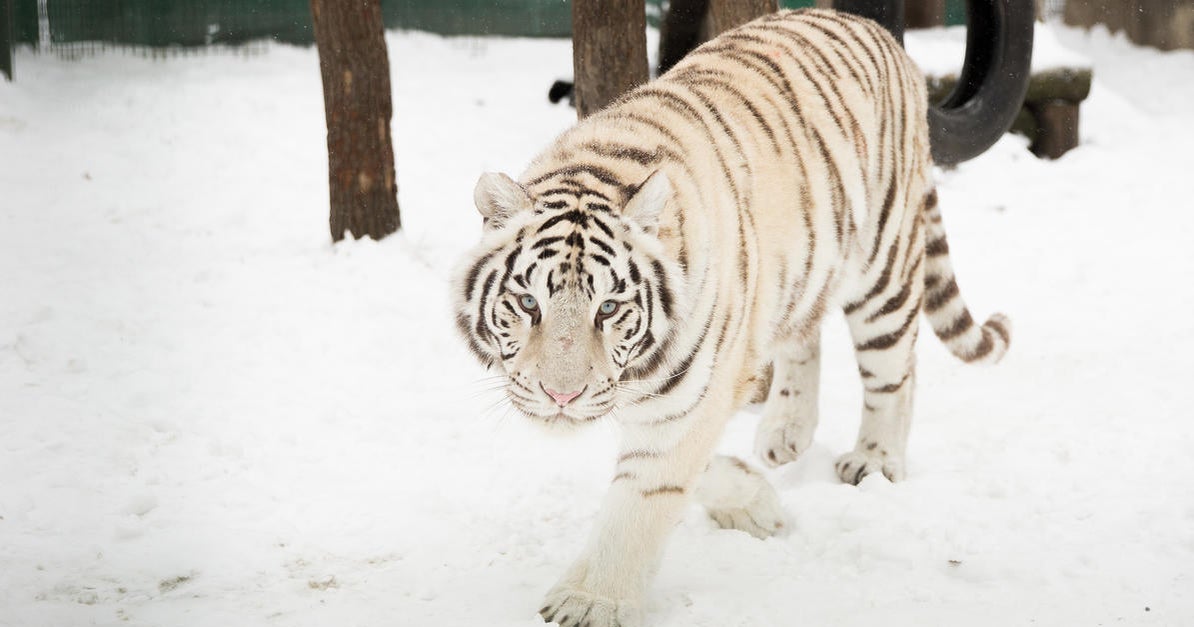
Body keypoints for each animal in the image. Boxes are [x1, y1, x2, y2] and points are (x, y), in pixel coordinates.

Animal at [451, 8, 1010, 627]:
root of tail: (878, 32)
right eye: (529, 303)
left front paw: (591, 600)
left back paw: (875, 461)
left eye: (609, 307)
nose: (561, 396)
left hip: (882, 268)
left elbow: (640, 502)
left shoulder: (689, 393)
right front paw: (754, 502)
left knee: (895, 371)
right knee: (804, 335)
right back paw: (785, 434)